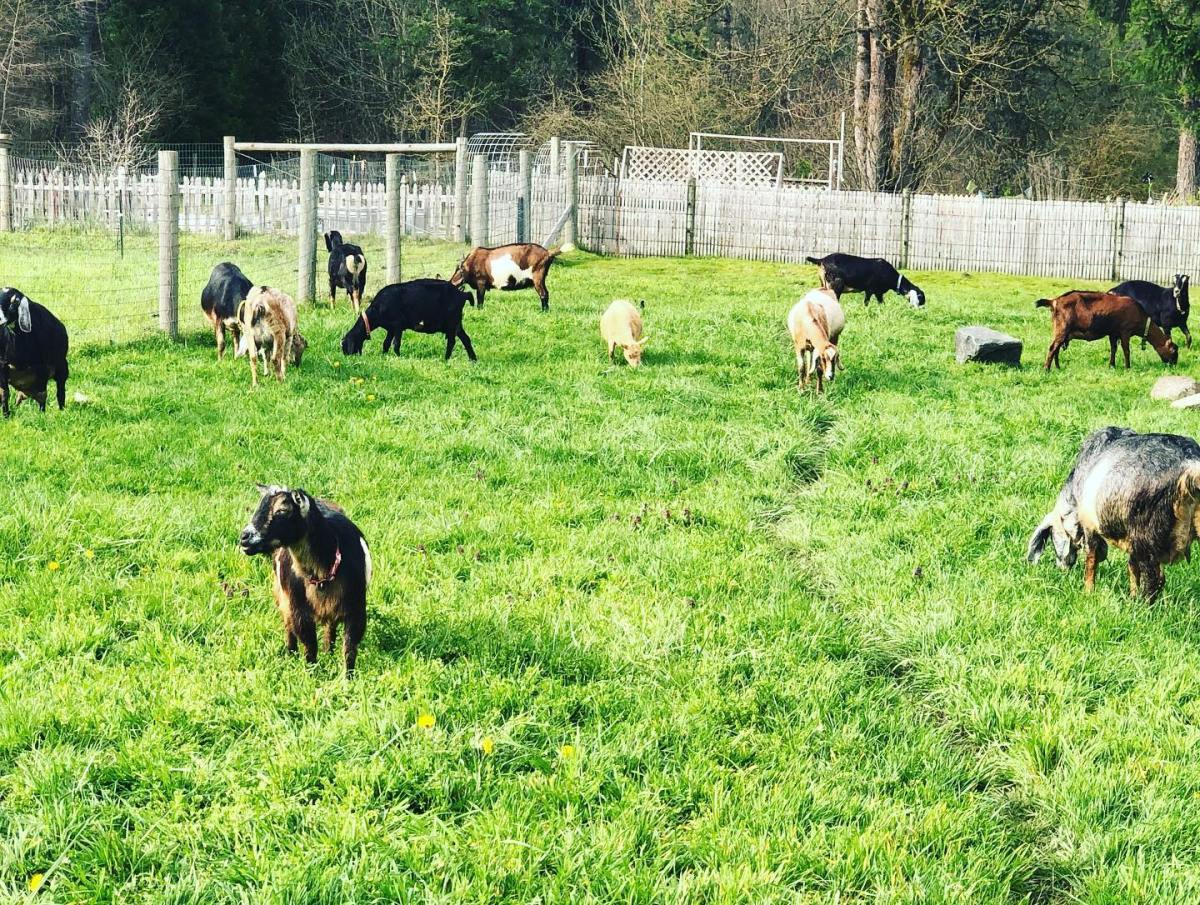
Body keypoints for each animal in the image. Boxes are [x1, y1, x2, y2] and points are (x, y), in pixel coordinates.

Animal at [0, 288, 69, 417]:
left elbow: (42, 394)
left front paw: (42, 415)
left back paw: (62, 410)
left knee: (60, 391)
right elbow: (4, 393)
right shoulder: (2, 365)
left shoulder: (42, 366)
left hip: (62, 368)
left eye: (14, 302)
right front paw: (6, 416)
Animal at [240, 484, 371, 675]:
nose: (244, 538)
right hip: (281, 594)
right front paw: (311, 674)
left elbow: (349, 648)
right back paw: (291, 653)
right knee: (288, 625)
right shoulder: (298, 609)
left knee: (330, 626)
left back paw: (328, 650)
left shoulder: (356, 609)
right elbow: (309, 646)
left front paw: (348, 677)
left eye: (282, 510)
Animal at [341, 278, 476, 361]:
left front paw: (398, 356)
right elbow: (386, 343)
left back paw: (446, 358)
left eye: (345, 347)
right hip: (457, 323)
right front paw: (384, 355)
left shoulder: (398, 326)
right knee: (466, 339)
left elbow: (396, 344)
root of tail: (462, 294)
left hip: (451, 322)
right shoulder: (390, 329)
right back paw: (473, 359)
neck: (378, 308)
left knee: (452, 342)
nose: (347, 357)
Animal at [1028, 428, 1200, 600]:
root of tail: (1190, 465)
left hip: (1146, 537)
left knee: (1154, 580)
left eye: (1052, 537)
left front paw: (1088, 592)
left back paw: (1143, 605)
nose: (1062, 568)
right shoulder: (1130, 540)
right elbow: (1132, 568)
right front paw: (1132, 597)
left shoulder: (1091, 527)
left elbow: (1091, 561)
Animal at [1036, 290, 1178, 370]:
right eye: (1174, 351)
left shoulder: (1113, 333)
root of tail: (1055, 301)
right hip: (1063, 328)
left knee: (1056, 349)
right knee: (1053, 347)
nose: (1174, 365)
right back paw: (1046, 369)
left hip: (1062, 331)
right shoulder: (1125, 331)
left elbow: (1113, 349)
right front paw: (1127, 367)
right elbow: (1126, 350)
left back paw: (1058, 367)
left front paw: (1112, 366)